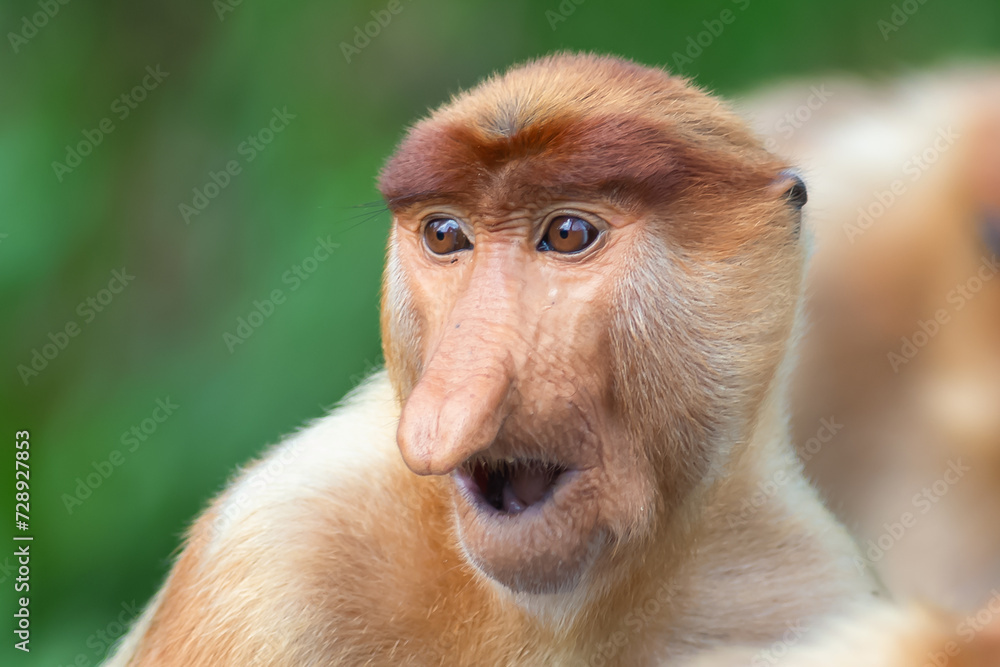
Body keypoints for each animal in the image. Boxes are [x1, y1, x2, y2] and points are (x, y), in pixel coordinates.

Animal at [107, 53, 882, 666]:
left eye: (567, 233)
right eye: (445, 234)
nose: (448, 408)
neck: (560, 615)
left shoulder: (795, 589)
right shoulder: (276, 548)